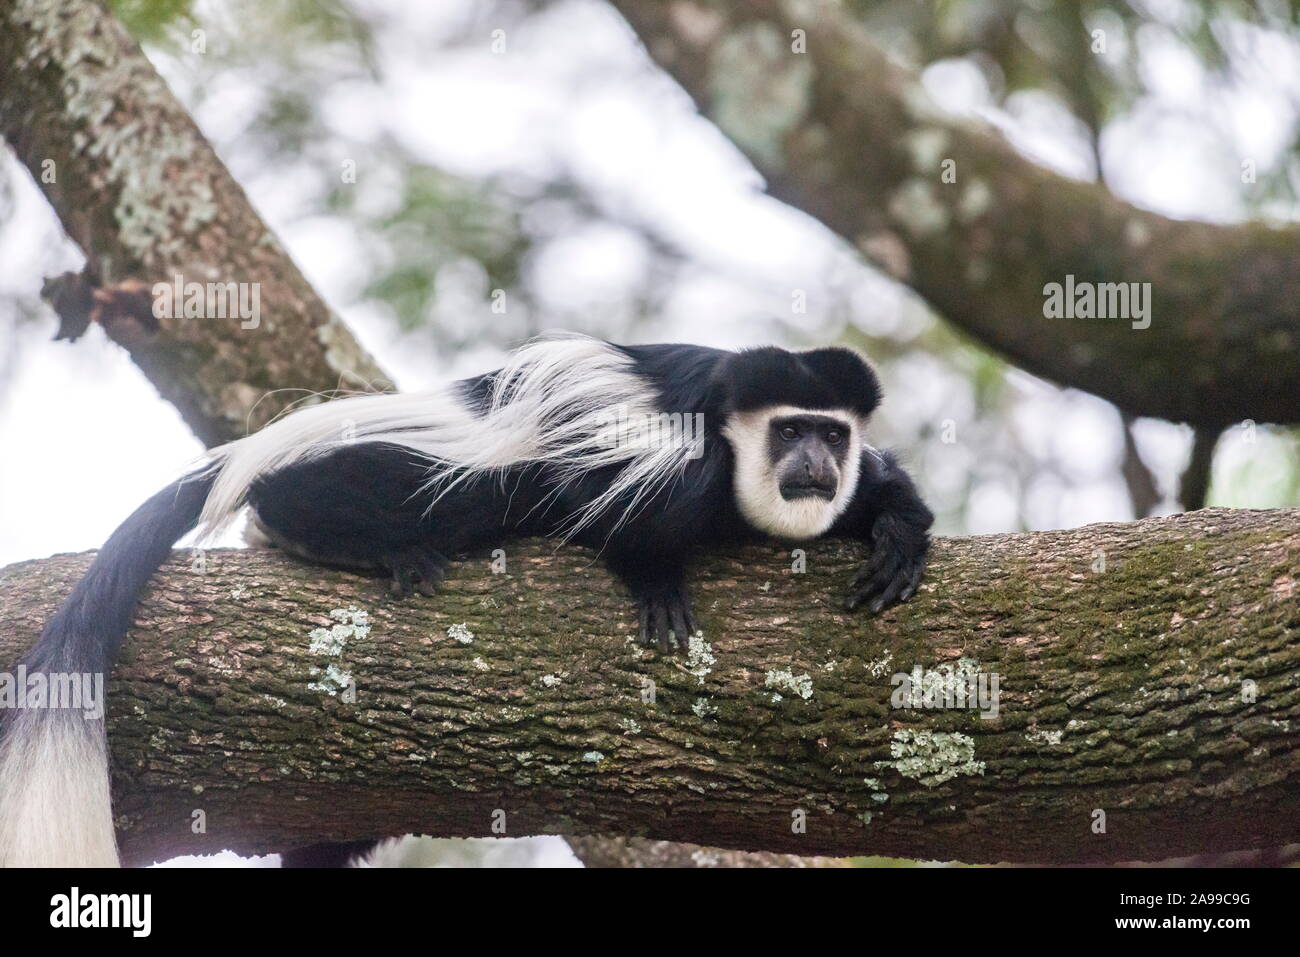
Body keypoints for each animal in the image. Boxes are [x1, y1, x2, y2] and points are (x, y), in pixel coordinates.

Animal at [0, 333, 933, 866]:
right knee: (441, 488)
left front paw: (899, 533)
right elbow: (615, 515)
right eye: (790, 430)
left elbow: (877, 497)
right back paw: (320, 530)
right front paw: (660, 587)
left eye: (831, 432)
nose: (813, 463)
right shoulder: (676, 460)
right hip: (464, 459)